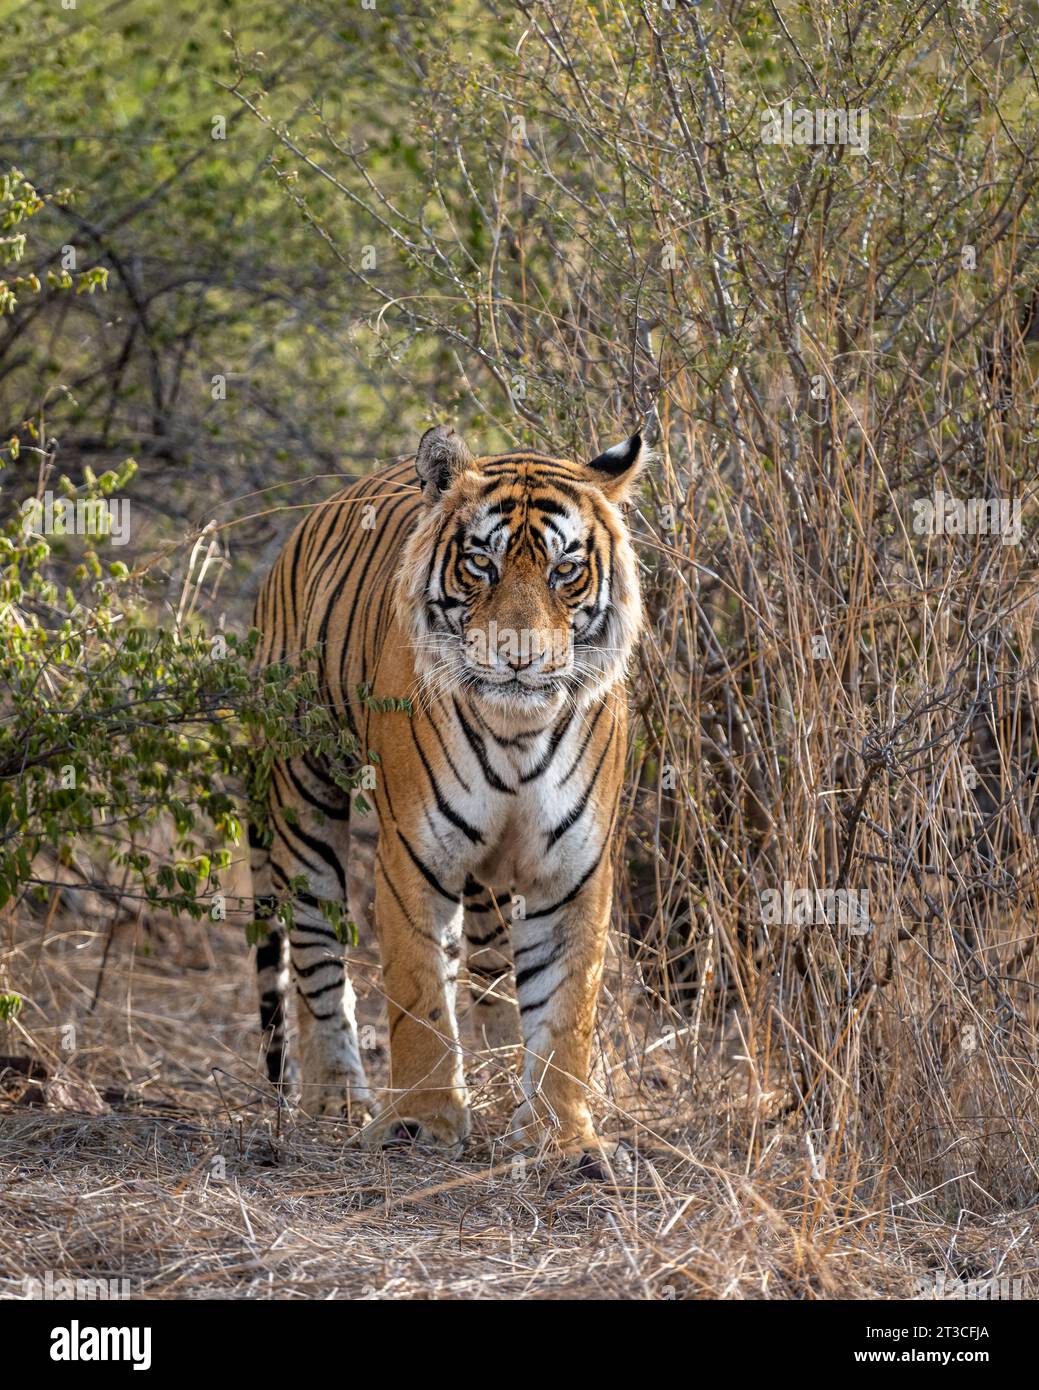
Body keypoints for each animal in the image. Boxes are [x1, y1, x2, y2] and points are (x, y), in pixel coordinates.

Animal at [249, 424, 646, 1165]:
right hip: (303, 793)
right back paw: (335, 1094)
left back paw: (494, 1063)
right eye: (481, 564)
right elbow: (418, 993)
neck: (517, 730)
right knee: (317, 957)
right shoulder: (413, 853)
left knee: (489, 962)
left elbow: (564, 1008)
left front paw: (561, 1136)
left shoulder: (573, 869)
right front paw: (423, 1119)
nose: (518, 655)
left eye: (565, 570)